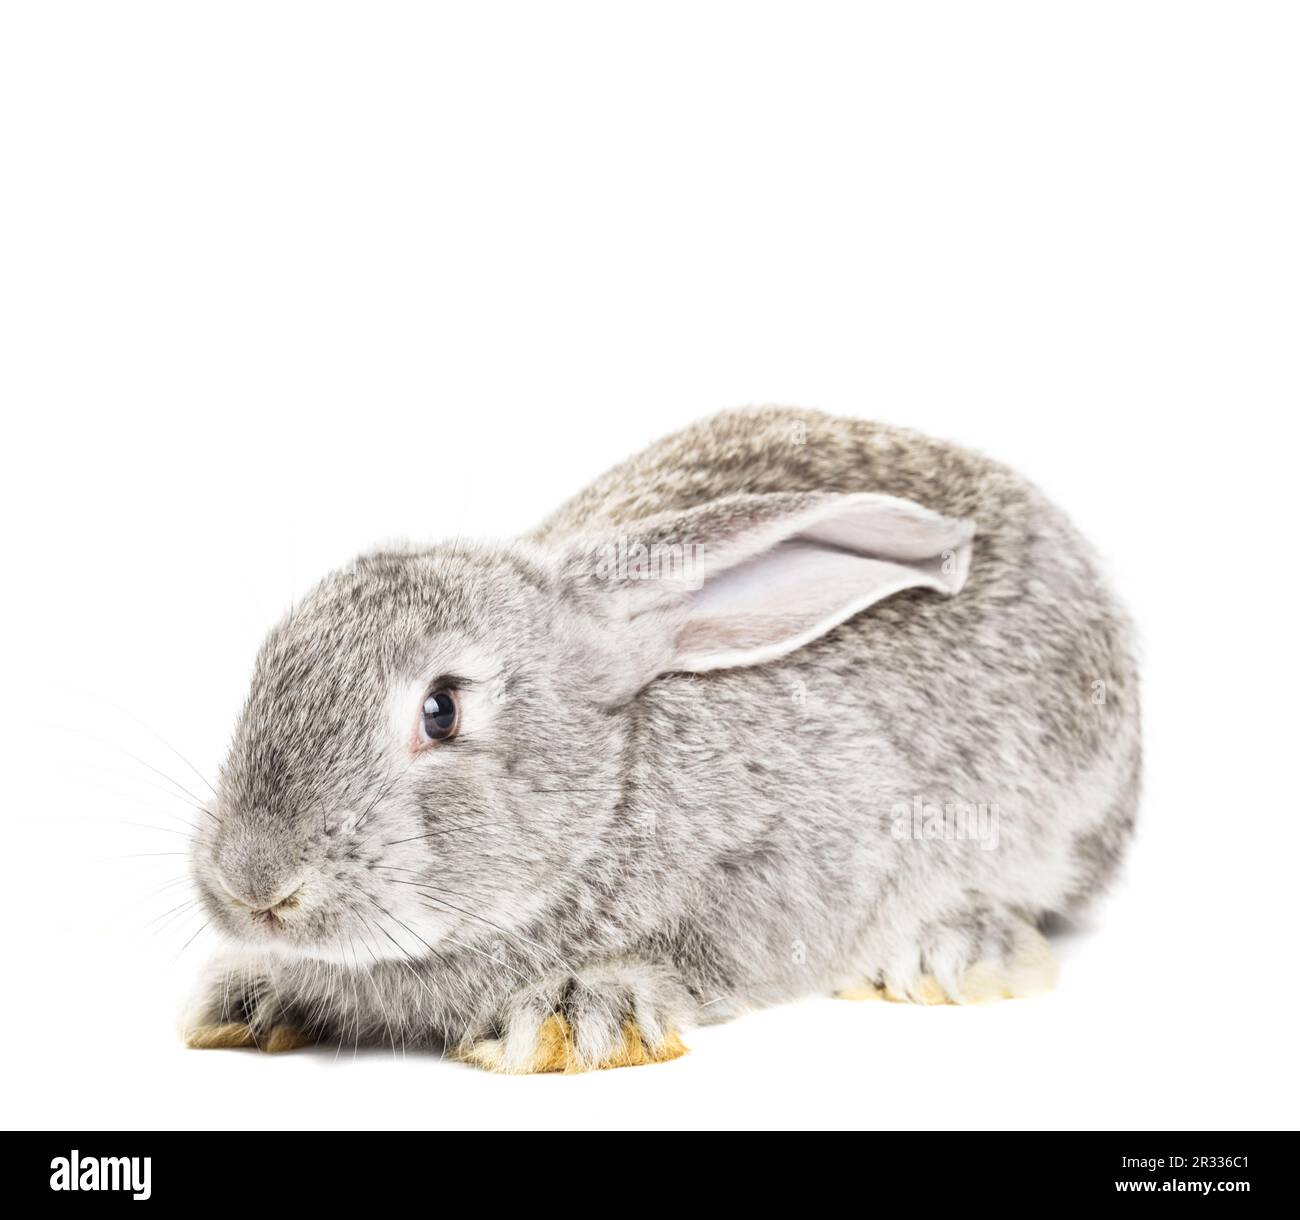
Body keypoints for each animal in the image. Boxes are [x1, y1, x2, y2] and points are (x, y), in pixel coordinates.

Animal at [184, 406, 1140, 1072]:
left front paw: (577, 1013)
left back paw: (954, 954)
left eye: (442, 710)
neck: (612, 789)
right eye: (267, 666)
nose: (255, 885)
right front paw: (252, 997)